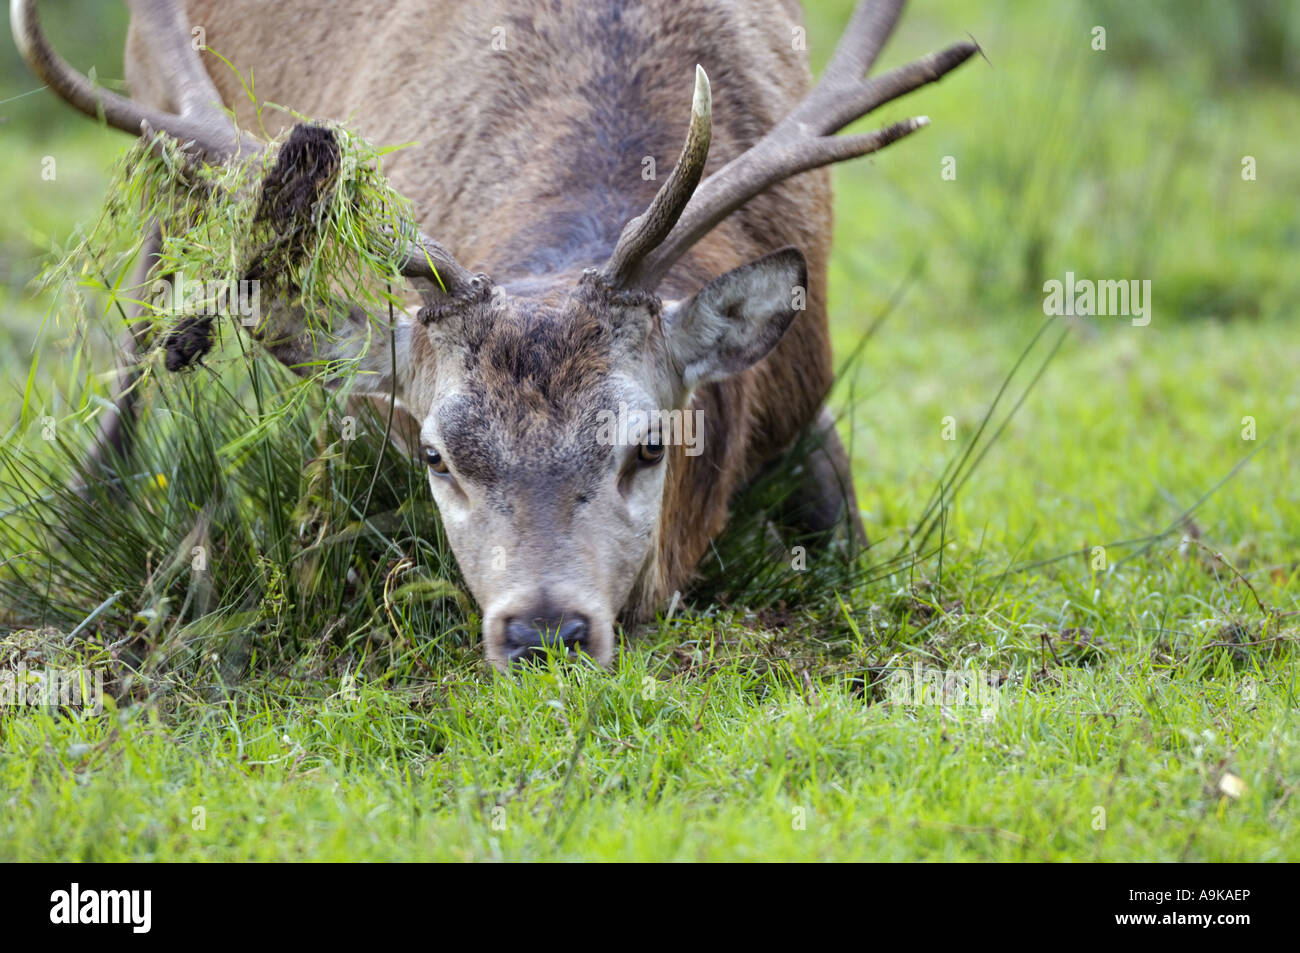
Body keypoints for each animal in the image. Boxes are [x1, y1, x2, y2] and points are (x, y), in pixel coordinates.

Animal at [11, 0, 974, 667]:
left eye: (651, 444)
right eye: (439, 456)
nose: (544, 630)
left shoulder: (805, 386)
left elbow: (845, 526)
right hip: (154, 127)